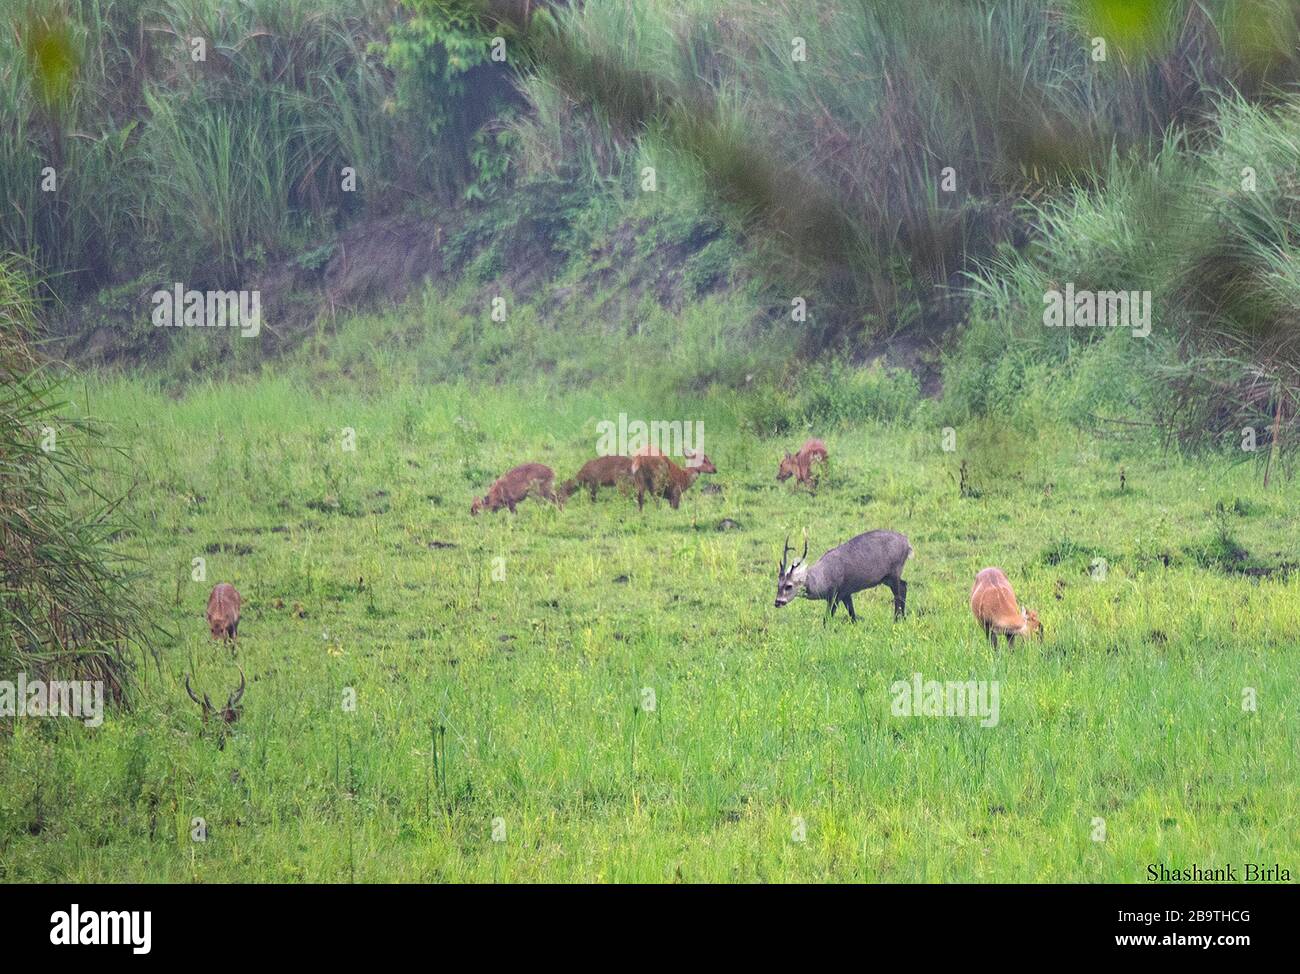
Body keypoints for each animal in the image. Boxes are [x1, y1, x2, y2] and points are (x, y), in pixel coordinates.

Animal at [774, 529, 912, 622]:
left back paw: (896, 619)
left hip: (894, 572)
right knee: (904, 585)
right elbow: (853, 616)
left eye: (789, 585)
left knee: (898, 594)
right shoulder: (846, 593)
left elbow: (826, 619)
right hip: (887, 578)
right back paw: (903, 618)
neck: (823, 578)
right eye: (778, 585)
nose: (777, 602)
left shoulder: (835, 595)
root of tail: (907, 543)